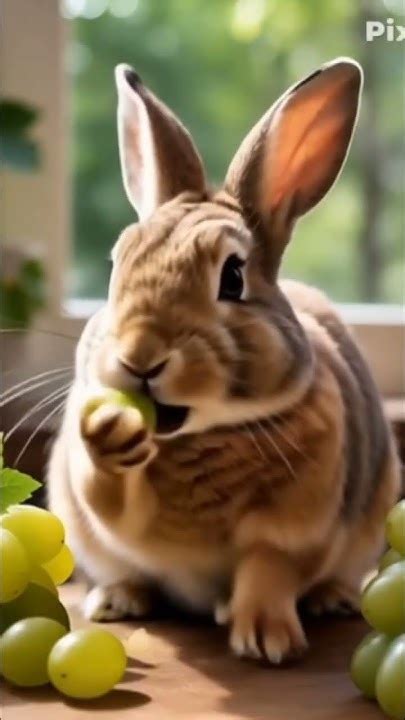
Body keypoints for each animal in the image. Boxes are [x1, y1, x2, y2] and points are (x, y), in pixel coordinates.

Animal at [48, 57, 401, 663]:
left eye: (233, 277)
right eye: (118, 264)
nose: (140, 357)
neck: (203, 432)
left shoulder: (292, 531)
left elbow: (269, 569)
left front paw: (267, 639)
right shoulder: (108, 508)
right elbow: (109, 498)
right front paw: (110, 433)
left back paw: (331, 599)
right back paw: (117, 599)